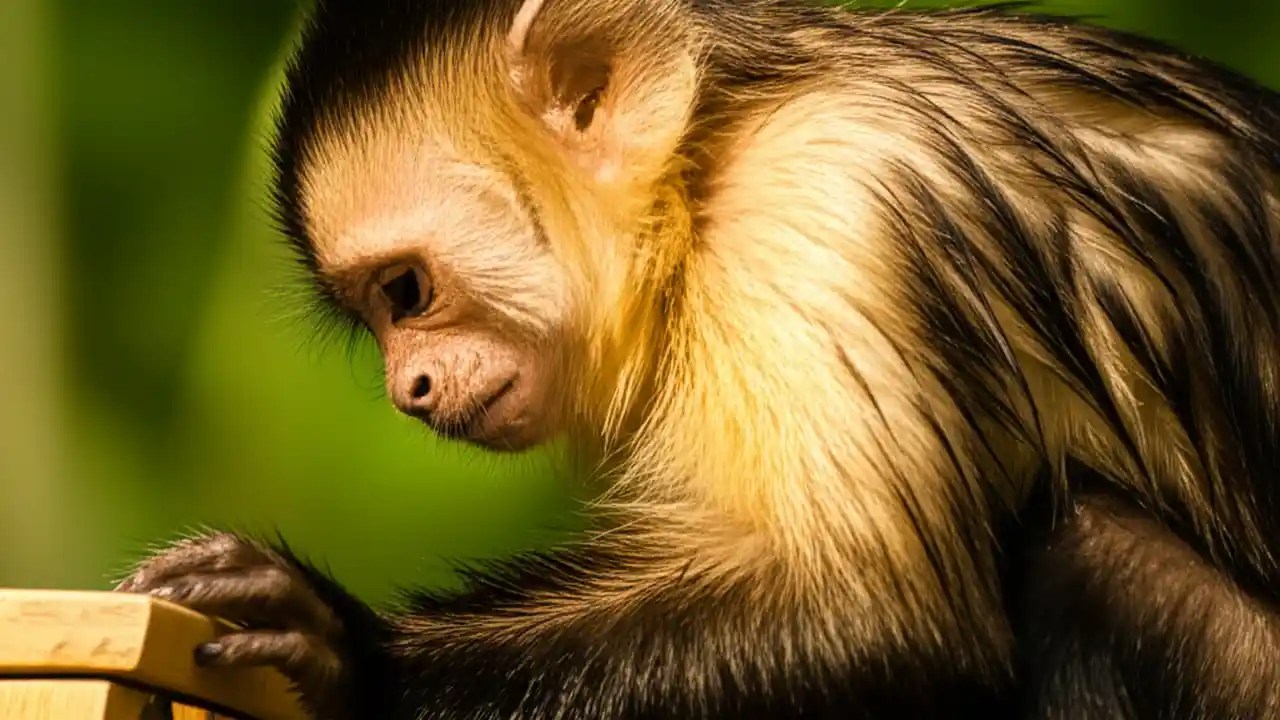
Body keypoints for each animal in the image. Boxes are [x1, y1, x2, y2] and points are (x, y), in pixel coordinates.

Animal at [114, 0, 1280, 718]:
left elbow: (884, 621)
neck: (708, 160)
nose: (408, 390)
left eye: (406, 292)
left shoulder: (823, 200)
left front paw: (349, 653)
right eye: (375, 316)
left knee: (1097, 557)